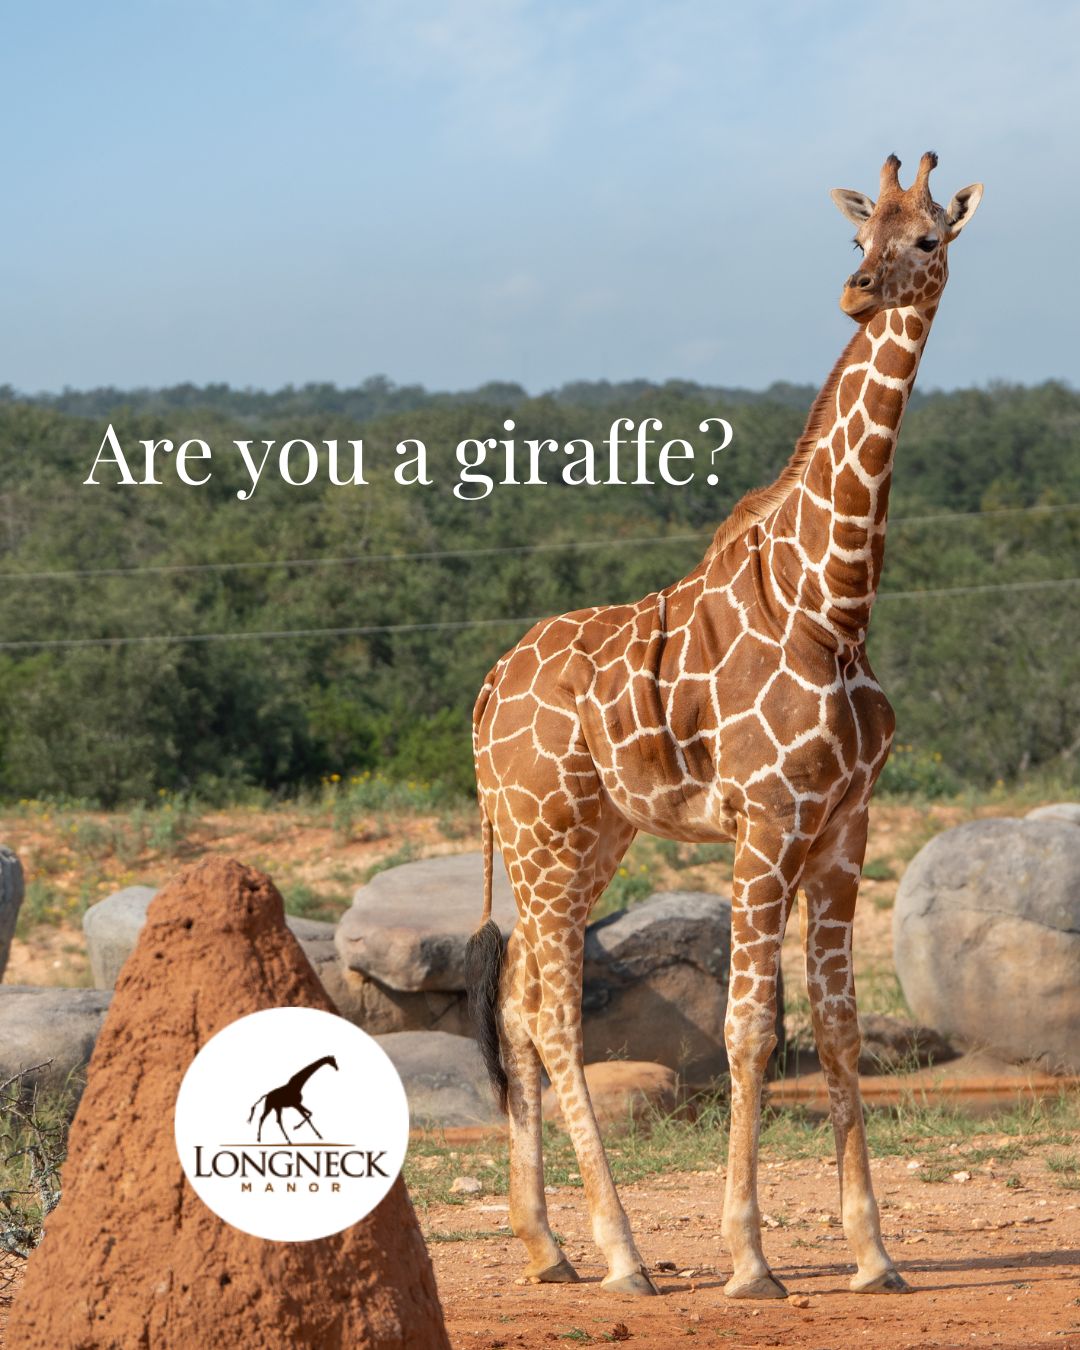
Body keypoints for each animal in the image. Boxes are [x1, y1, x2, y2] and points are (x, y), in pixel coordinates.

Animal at [465, 151, 982, 1299]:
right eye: (857, 238)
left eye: (928, 238)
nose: (858, 293)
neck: (834, 600)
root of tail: (482, 695)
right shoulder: (766, 820)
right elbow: (751, 1031)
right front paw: (749, 1258)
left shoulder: (844, 831)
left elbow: (835, 1030)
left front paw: (873, 1254)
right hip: (544, 834)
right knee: (552, 1012)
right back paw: (623, 1255)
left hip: (588, 836)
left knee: (518, 1002)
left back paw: (547, 1245)